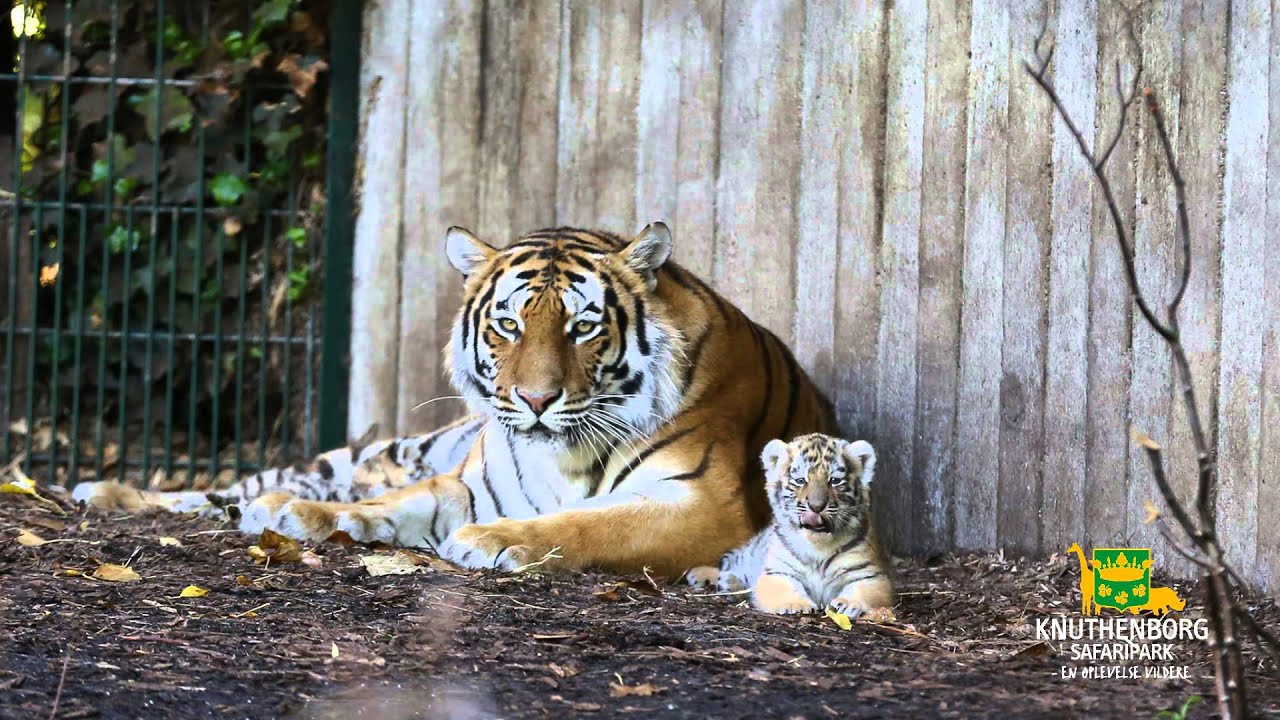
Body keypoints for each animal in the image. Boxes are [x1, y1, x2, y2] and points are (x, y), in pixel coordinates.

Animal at [73, 222, 837, 577]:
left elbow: (591, 523)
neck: (561, 456)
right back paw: (109, 492)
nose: (535, 399)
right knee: (248, 482)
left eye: (582, 327)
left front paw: (490, 542)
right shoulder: (470, 481)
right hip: (379, 450)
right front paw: (304, 517)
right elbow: (394, 503)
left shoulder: (705, 503)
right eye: (510, 324)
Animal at [686, 434, 893, 616]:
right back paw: (702, 575)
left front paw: (847, 604)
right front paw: (796, 605)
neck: (818, 547)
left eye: (834, 481)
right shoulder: (777, 571)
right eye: (800, 480)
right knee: (731, 563)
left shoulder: (869, 574)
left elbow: (864, 590)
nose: (816, 507)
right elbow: (785, 588)